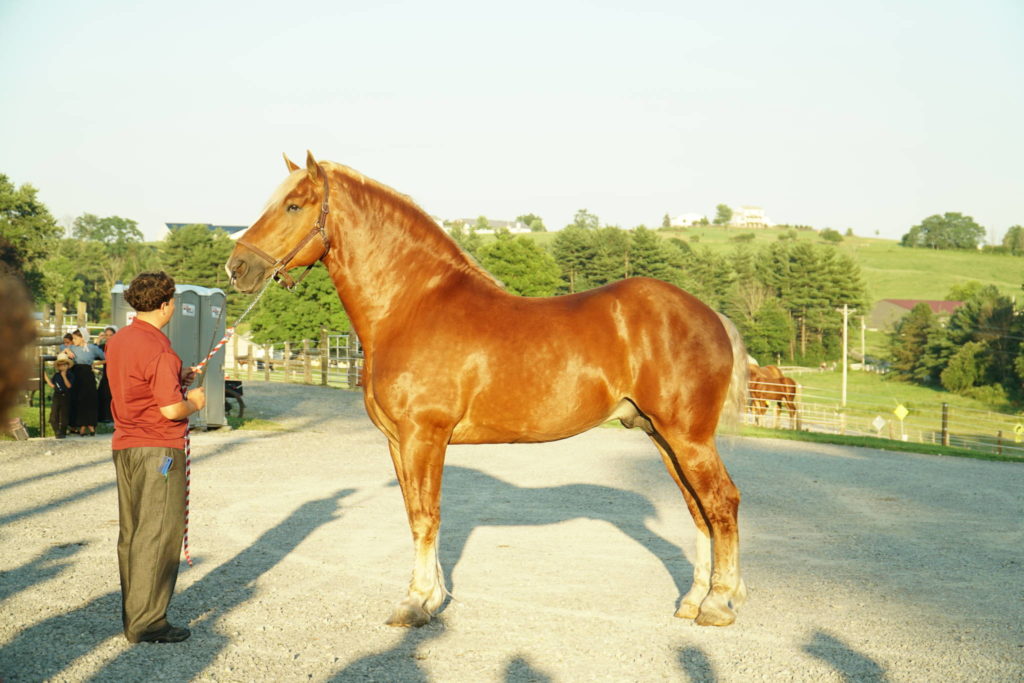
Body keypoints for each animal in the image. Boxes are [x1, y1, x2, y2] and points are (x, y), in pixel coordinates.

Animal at [226, 151, 750, 627]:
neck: (412, 306)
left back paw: (719, 604)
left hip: (688, 437)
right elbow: (417, 513)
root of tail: (710, 315)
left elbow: (426, 516)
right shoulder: (399, 442)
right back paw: (694, 600)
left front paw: (414, 603)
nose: (236, 268)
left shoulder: (424, 436)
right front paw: (432, 598)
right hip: (660, 436)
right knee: (698, 509)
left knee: (722, 502)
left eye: (294, 205)